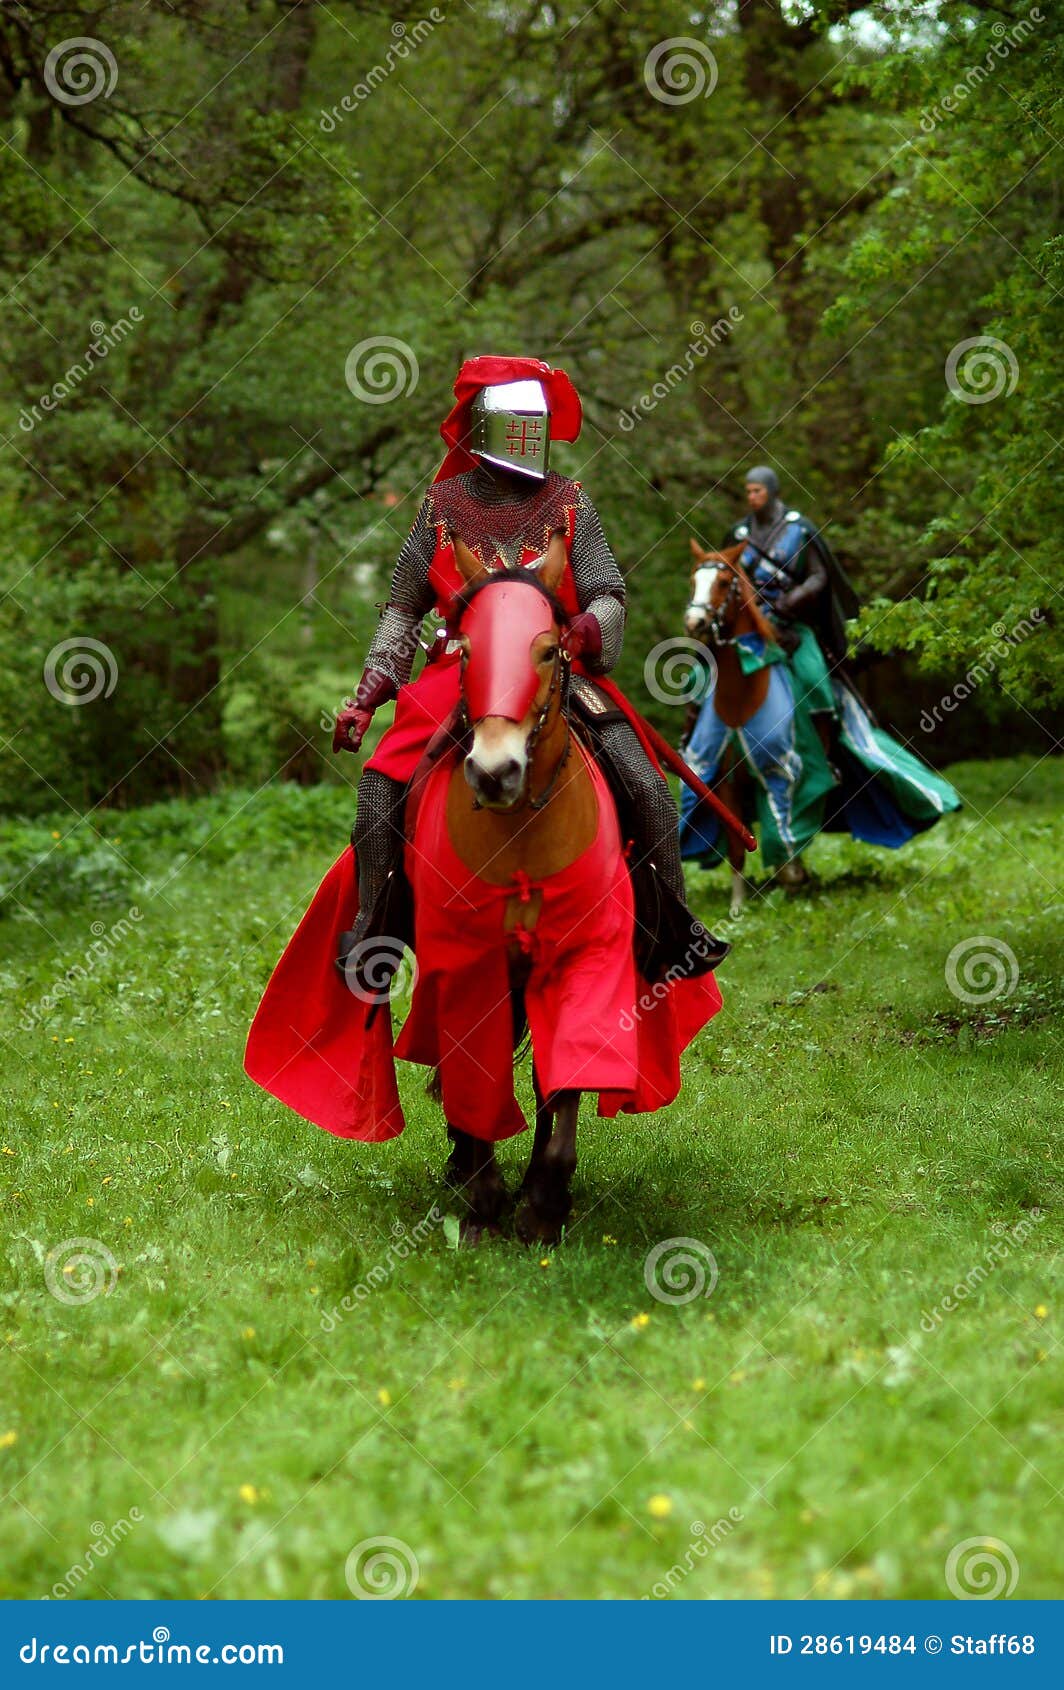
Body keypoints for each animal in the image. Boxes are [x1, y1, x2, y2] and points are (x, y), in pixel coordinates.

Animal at [682, 540, 807, 913]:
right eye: (694, 582)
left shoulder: (778, 767)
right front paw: (737, 905)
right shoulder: (724, 778)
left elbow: (785, 819)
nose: (694, 621)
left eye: (724, 583)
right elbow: (737, 846)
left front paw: (791, 877)